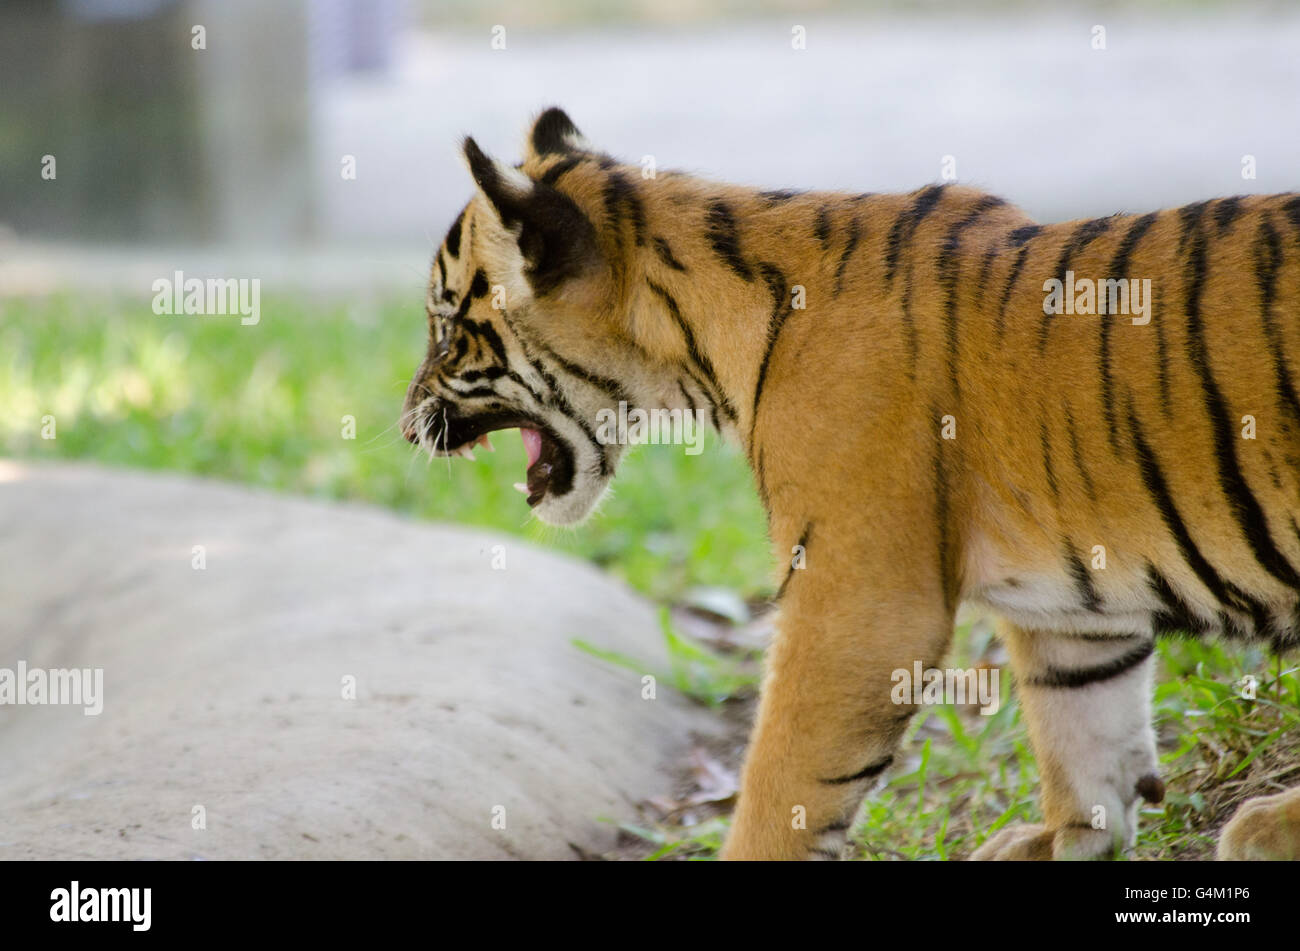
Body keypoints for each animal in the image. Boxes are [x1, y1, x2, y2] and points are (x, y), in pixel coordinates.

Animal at [401, 107, 1300, 861]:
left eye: (446, 329)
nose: (406, 423)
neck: (701, 334)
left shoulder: (857, 604)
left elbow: (781, 787)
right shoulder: (1076, 612)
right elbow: (1083, 724)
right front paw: (1068, 837)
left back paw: (1266, 825)